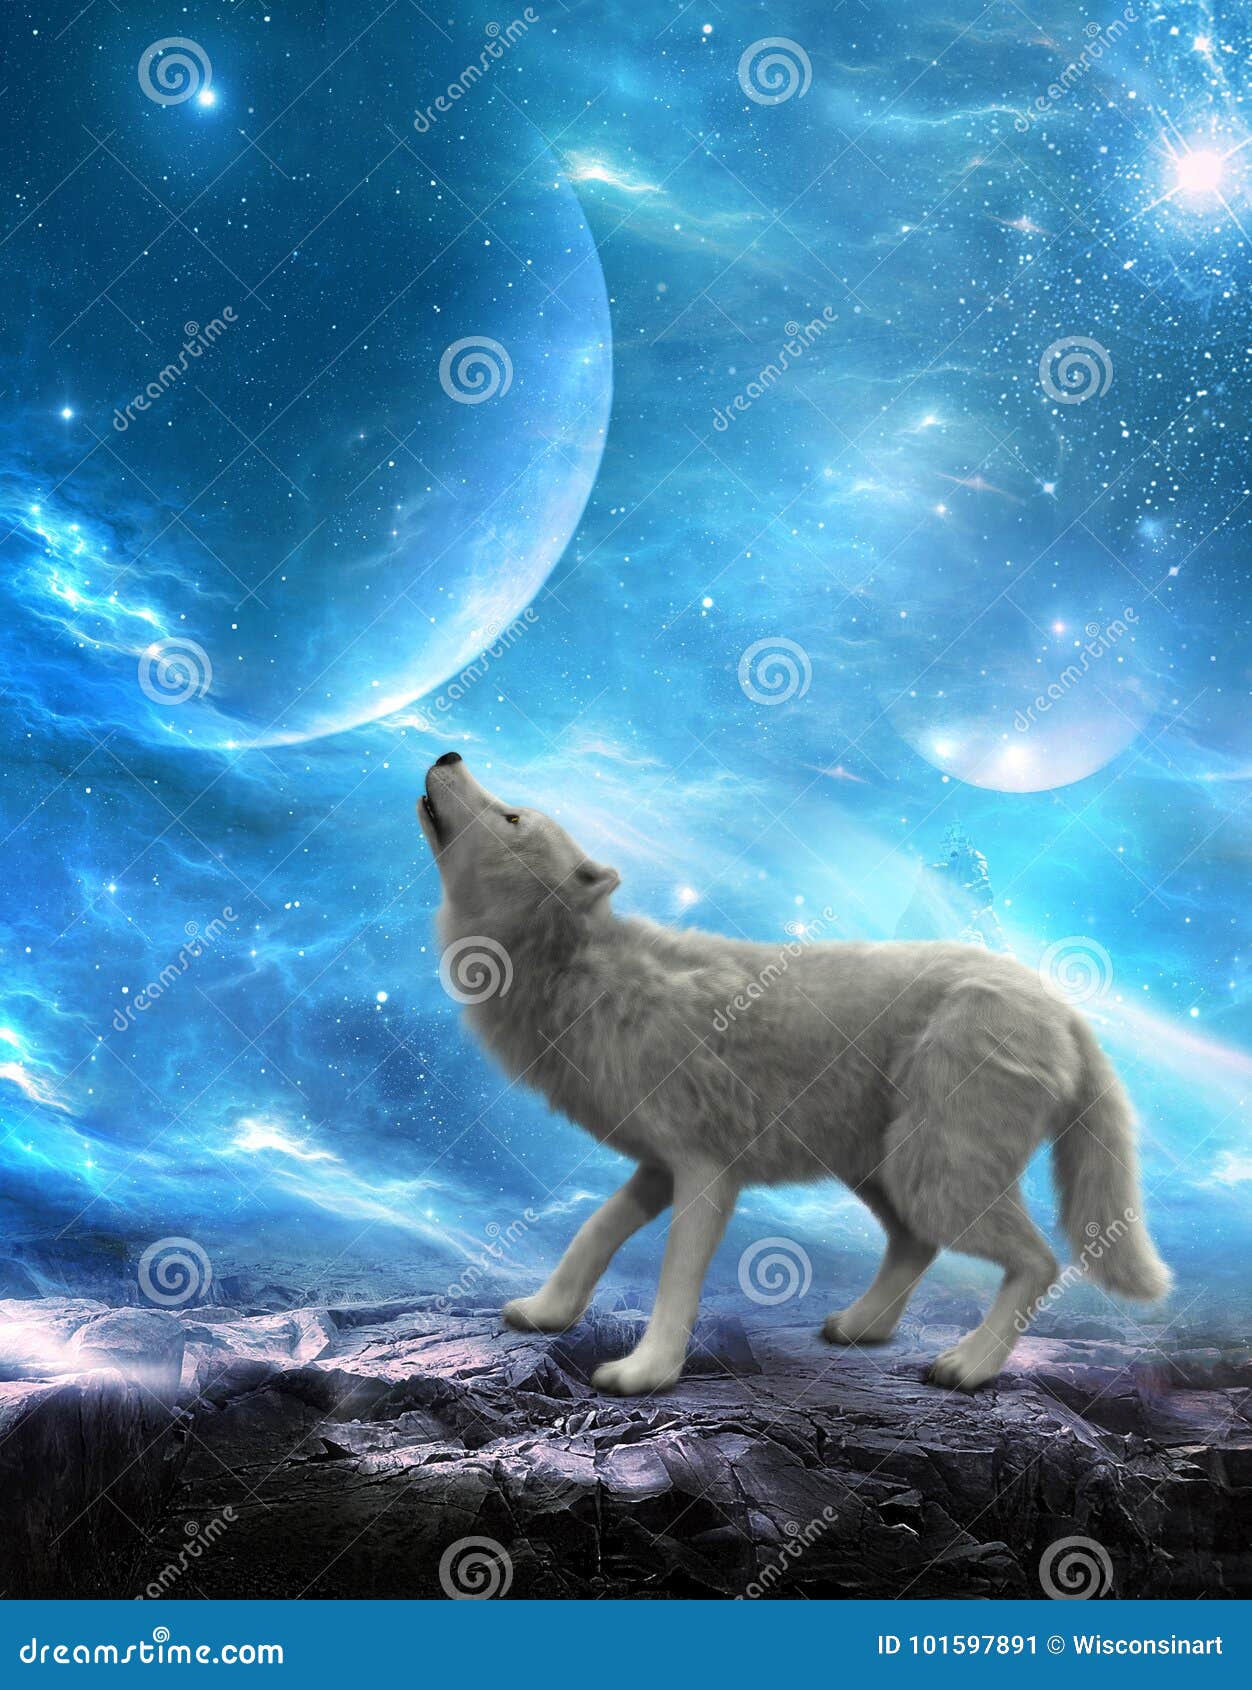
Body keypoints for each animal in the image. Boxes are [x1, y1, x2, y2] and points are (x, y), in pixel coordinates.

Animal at [419, 752, 1171, 1396]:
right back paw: (861, 1327)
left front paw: (646, 1372)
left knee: (1039, 1261)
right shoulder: (658, 1166)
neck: (581, 975)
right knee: (916, 1245)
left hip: (931, 1176)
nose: (449, 755)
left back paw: (969, 1365)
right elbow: (594, 1233)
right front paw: (547, 1310)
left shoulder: (707, 1172)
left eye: (512, 817)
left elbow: (674, 1277)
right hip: (881, 1170)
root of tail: (1062, 1006)